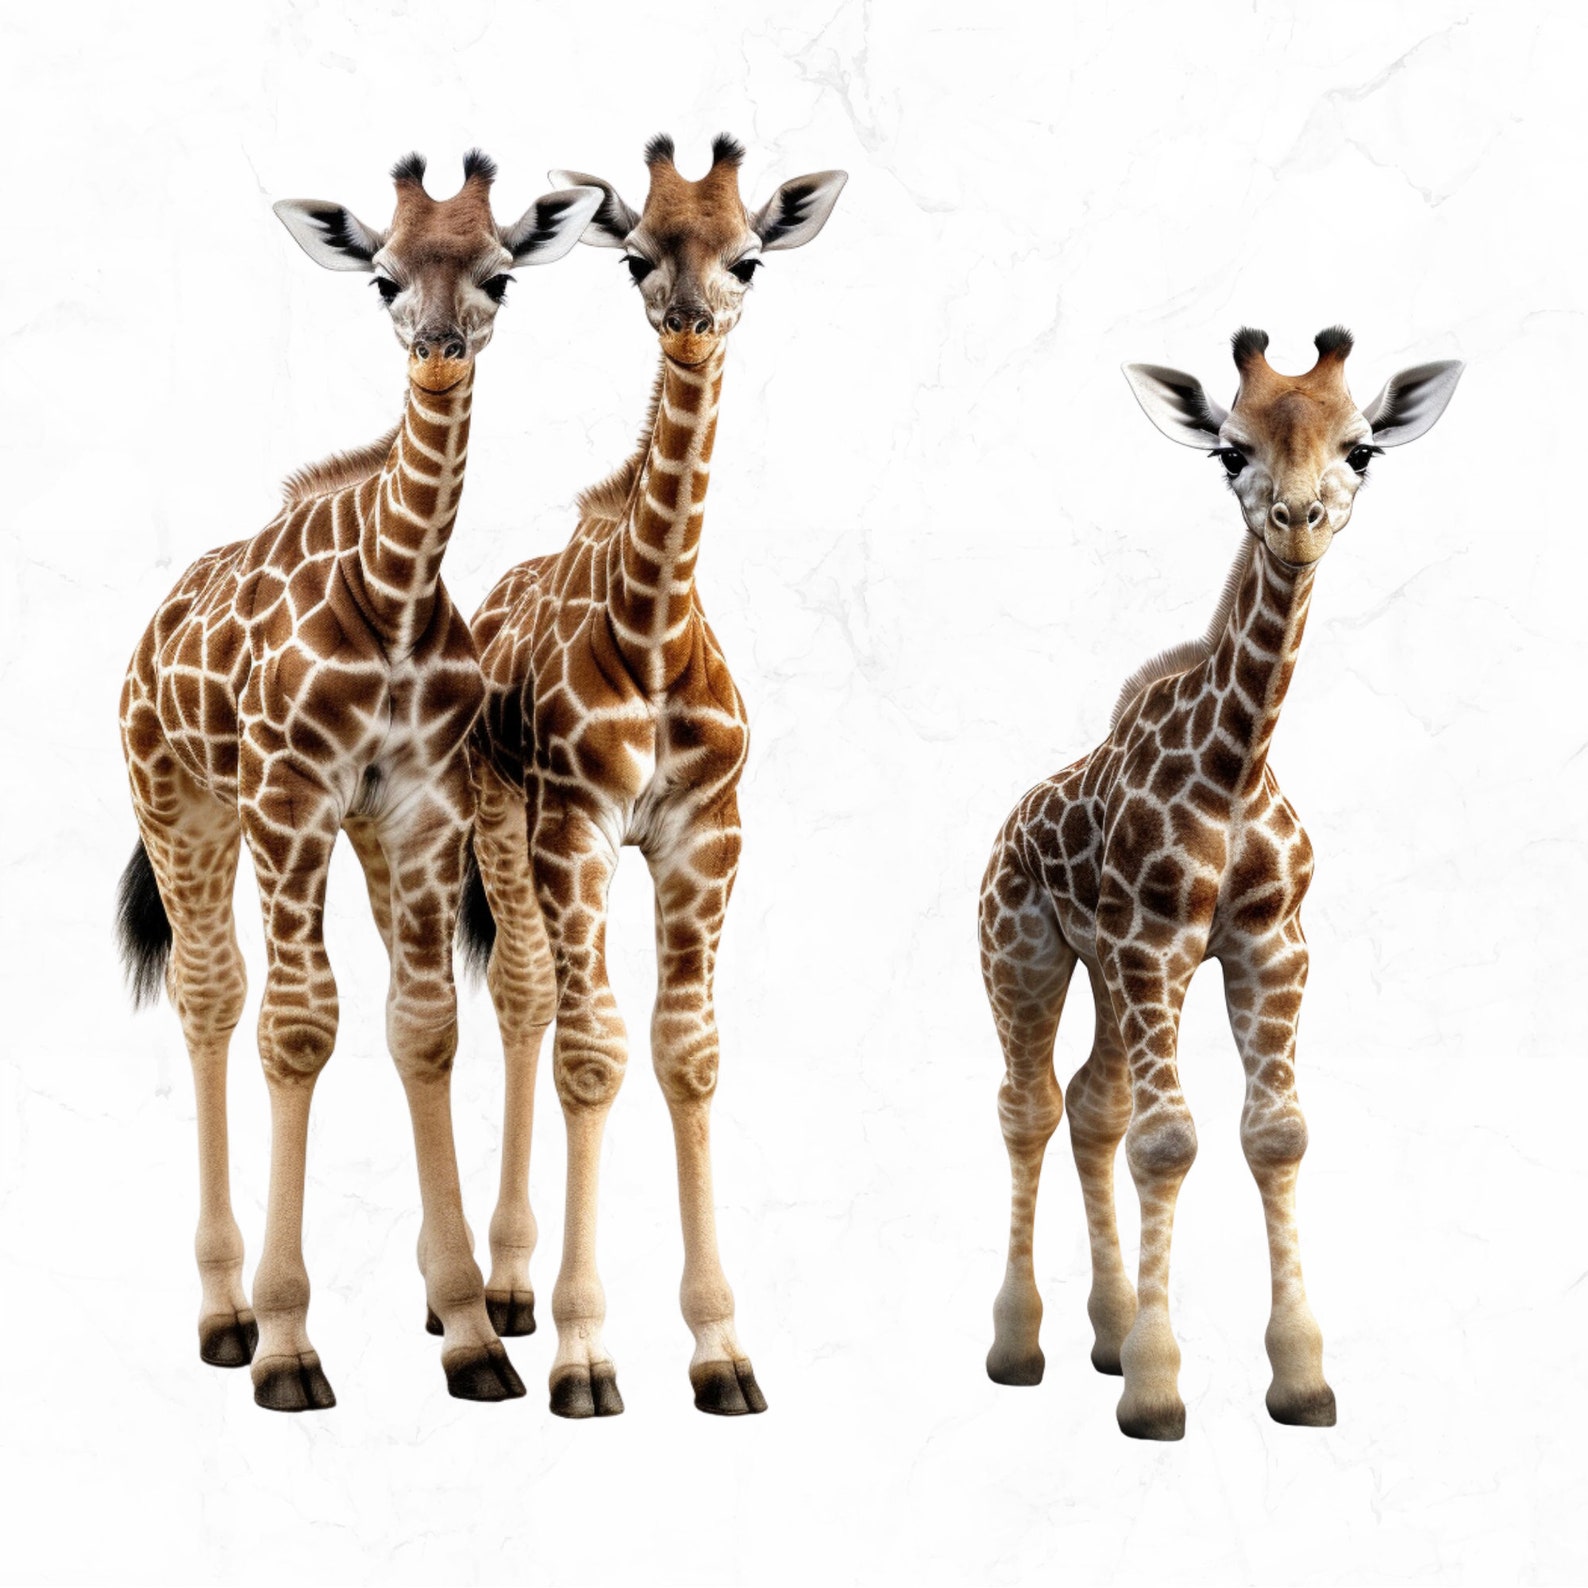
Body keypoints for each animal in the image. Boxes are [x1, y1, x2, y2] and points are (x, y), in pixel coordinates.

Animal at [115, 151, 600, 1411]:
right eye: (382, 274)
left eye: (497, 275)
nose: (437, 347)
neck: (392, 591)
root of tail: (154, 622)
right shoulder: (288, 803)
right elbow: (296, 1028)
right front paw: (288, 1345)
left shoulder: (418, 809)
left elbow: (422, 1029)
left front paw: (473, 1330)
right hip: (182, 807)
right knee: (211, 996)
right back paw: (224, 1313)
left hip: (353, 841)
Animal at [458, 134, 847, 1418]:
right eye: (634, 253)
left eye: (749, 255)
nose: (688, 322)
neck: (656, 627)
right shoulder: (576, 825)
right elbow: (592, 1055)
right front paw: (585, 1355)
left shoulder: (704, 833)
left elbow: (688, 1055)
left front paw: (721, 1349)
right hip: (498, 816)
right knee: (525, 1000)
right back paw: (507, 1294)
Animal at [979, 328, 1462, 1439]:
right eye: (1229, 452)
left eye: (1362, 448)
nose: (1298, 522)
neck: (1236, 765)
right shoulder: (1155, 943)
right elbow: (1168, 1142)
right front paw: (1159, 1392)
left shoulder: (1267, 944)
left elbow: (1273, 1134)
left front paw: (1299, 1379)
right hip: (1026, 951)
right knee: (1029, 1104)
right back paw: (1019, 1348)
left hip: (1110, 973)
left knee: (1093, 1101)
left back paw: (1106, 1335)